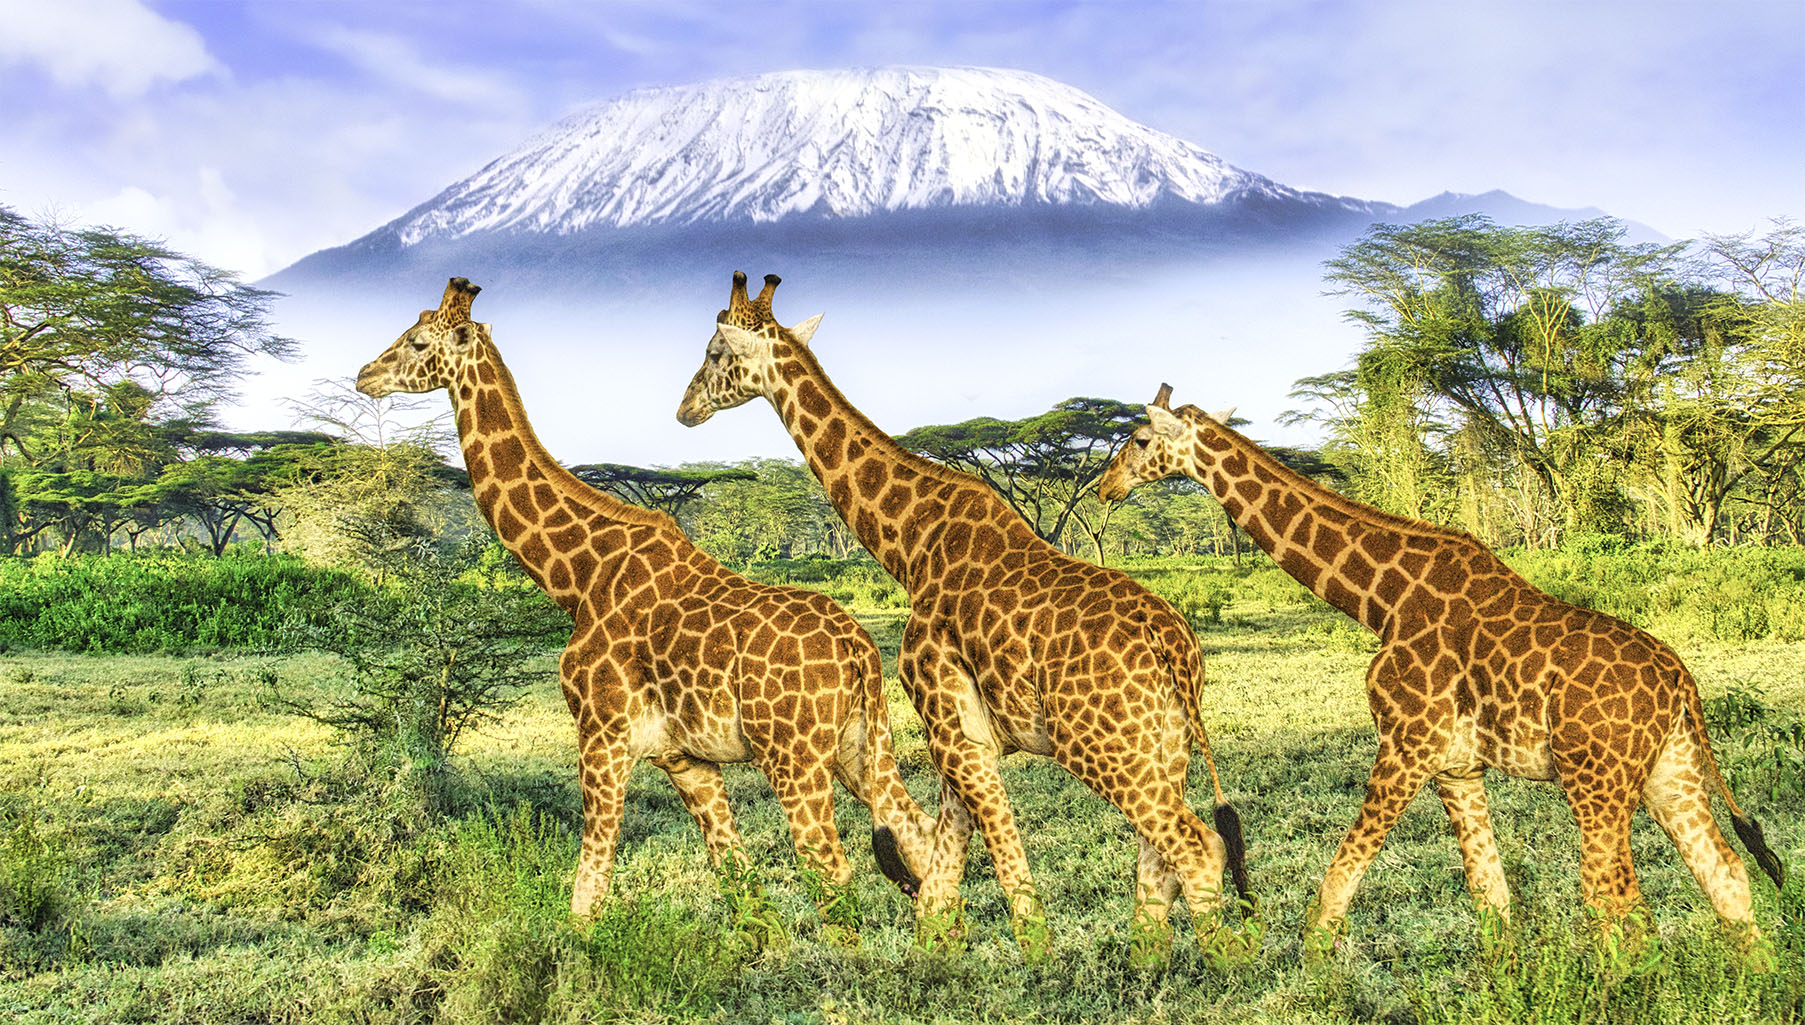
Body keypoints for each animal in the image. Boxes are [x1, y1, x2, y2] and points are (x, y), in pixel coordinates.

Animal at [355, 278, 934, 942]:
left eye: (417, 342)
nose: (364, 375)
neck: (578, 577)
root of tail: (858, 649)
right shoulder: (685, 760)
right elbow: (738, 881)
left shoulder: (602, 736)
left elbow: (588, 892)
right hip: (863, 746)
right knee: (917, 834)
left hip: (795, 757)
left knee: (833, 872)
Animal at [675, 272, 1251, 959]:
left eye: (713, 351)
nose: (684, 409)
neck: (911, 546)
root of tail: (1175, 646)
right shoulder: (955, 729)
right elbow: (942, 872)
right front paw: (941, 955)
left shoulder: (952, 725)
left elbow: (999, 862)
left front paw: (1036, 962)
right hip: (1165, 741)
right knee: (1160, 853)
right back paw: (1147, 963)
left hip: (1101, 743)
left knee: (1196, 845)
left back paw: (1226, 964)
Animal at [1097, 385, 1787, 952]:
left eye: (1139, 440)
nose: (1106, 488)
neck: (1383, 602)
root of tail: (1681, 683)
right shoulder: (1457, 766)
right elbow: (1491, 896)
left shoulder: (1407, 743)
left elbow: (1338, 880)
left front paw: (1314, 980)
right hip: (1670, 770)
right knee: (1724, 872)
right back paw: (1753, 980)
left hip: (1598, 779)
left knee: (1616, 900)